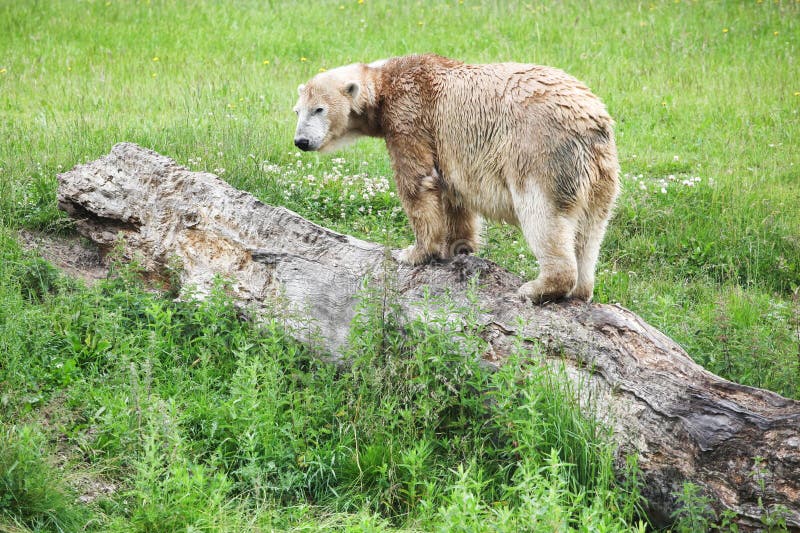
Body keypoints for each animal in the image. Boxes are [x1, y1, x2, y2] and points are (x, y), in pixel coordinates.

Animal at [293, 54, 619, 303]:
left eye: (318, 109)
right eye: (297, 111)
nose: (301, 141)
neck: (385, 83)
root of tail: (593, 124)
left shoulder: (410, 115)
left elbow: (417, 182)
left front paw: (413, 253)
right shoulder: (448, 150)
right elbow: (453, 194)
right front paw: (460, 247)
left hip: (540, 151)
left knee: (543, 215)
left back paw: (536, 288)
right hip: (601, 173)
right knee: (591, 229)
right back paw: (581, 290)